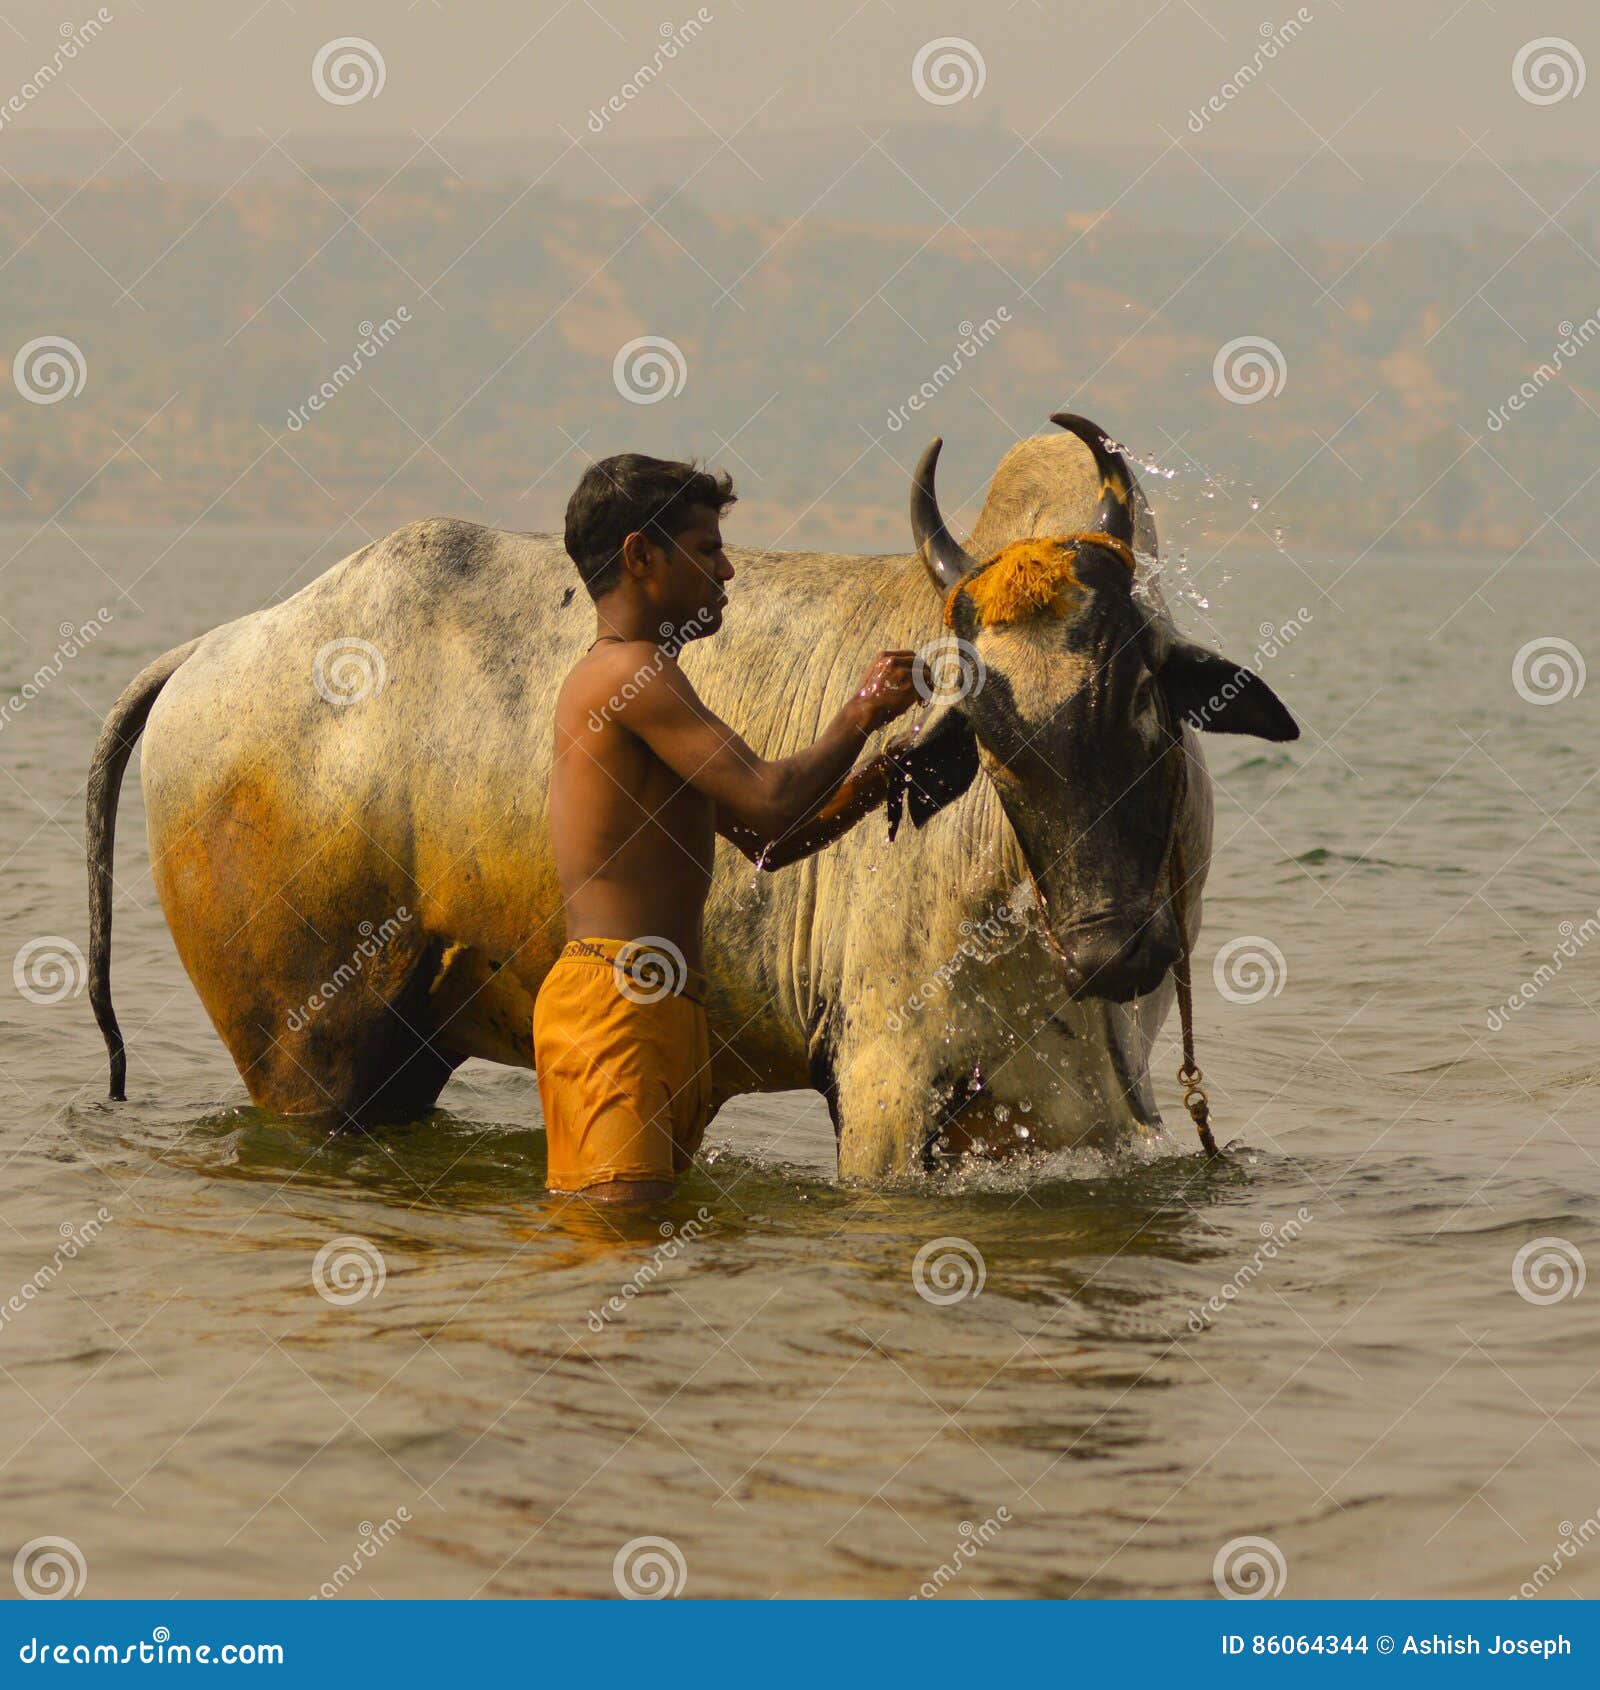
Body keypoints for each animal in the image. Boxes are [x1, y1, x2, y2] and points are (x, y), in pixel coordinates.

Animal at [86, 414, 1297, 1181]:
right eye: (988, 737)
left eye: (1139, 696)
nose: (1110, 948)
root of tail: (214, 648)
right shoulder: (889, 1079)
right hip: (306, 1063)